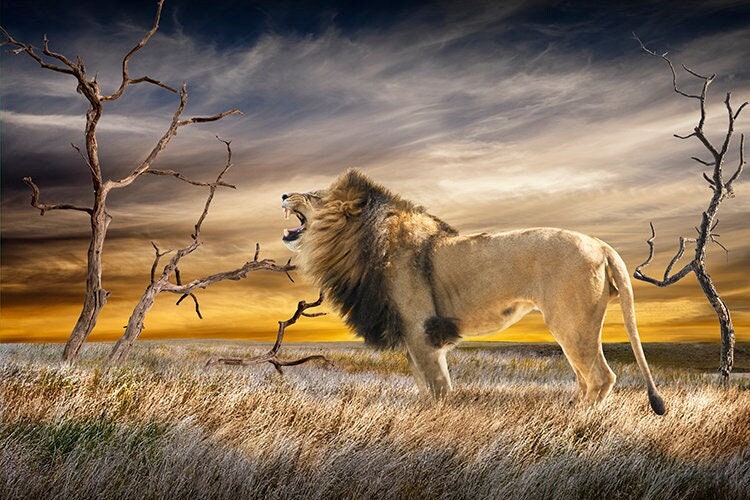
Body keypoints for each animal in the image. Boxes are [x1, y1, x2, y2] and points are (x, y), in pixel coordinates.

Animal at [280, 169, 666, 415]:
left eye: (314, 196)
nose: (283, 193)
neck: (355, 242)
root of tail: (601, 244)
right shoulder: (411, 338)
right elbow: (424, 387)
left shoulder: (422, 332)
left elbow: (438, 388)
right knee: (587, 378)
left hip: (571, 323)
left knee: (601, 377)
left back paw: (578, 420)